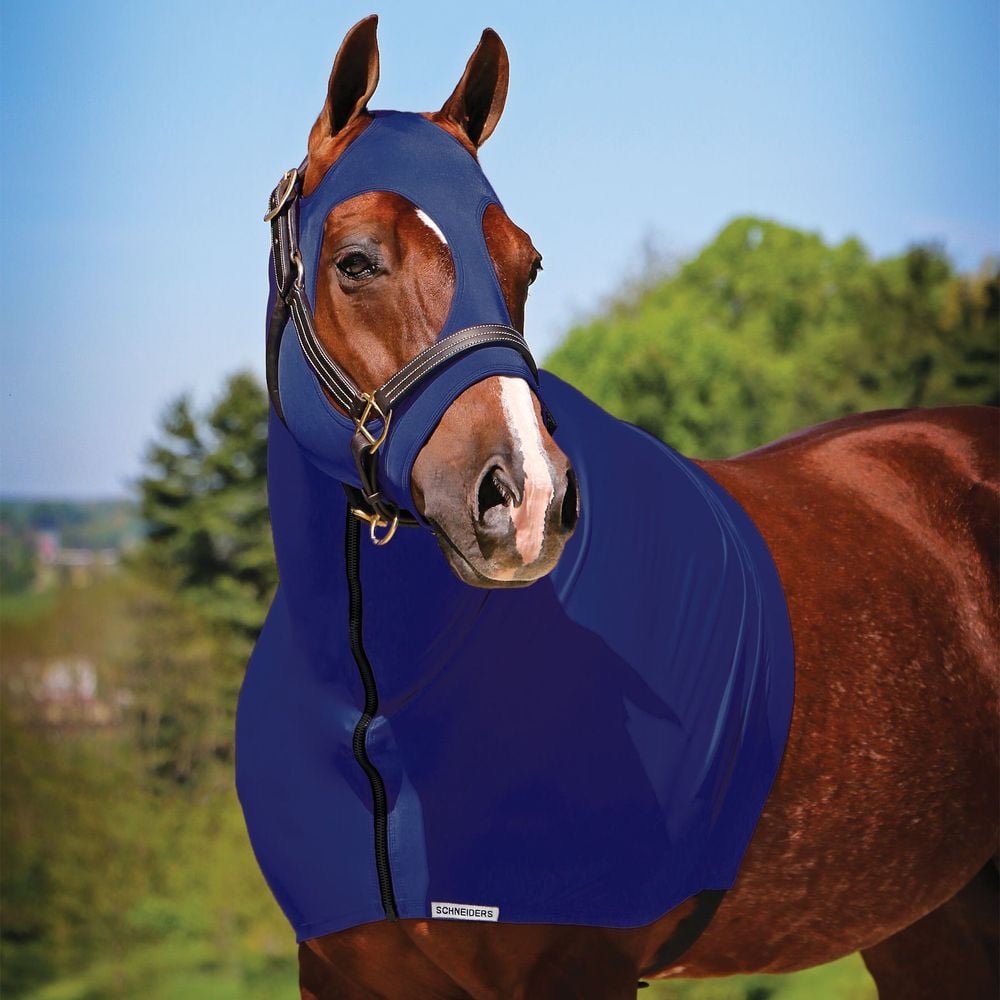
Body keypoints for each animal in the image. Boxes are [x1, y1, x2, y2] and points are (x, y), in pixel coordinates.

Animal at [246, 16, 999, 999]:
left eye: (525, 263)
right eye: (356, 261)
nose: (526, 496)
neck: (382, 704)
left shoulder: (580, 966)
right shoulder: (342, 973)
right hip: (935, 922)